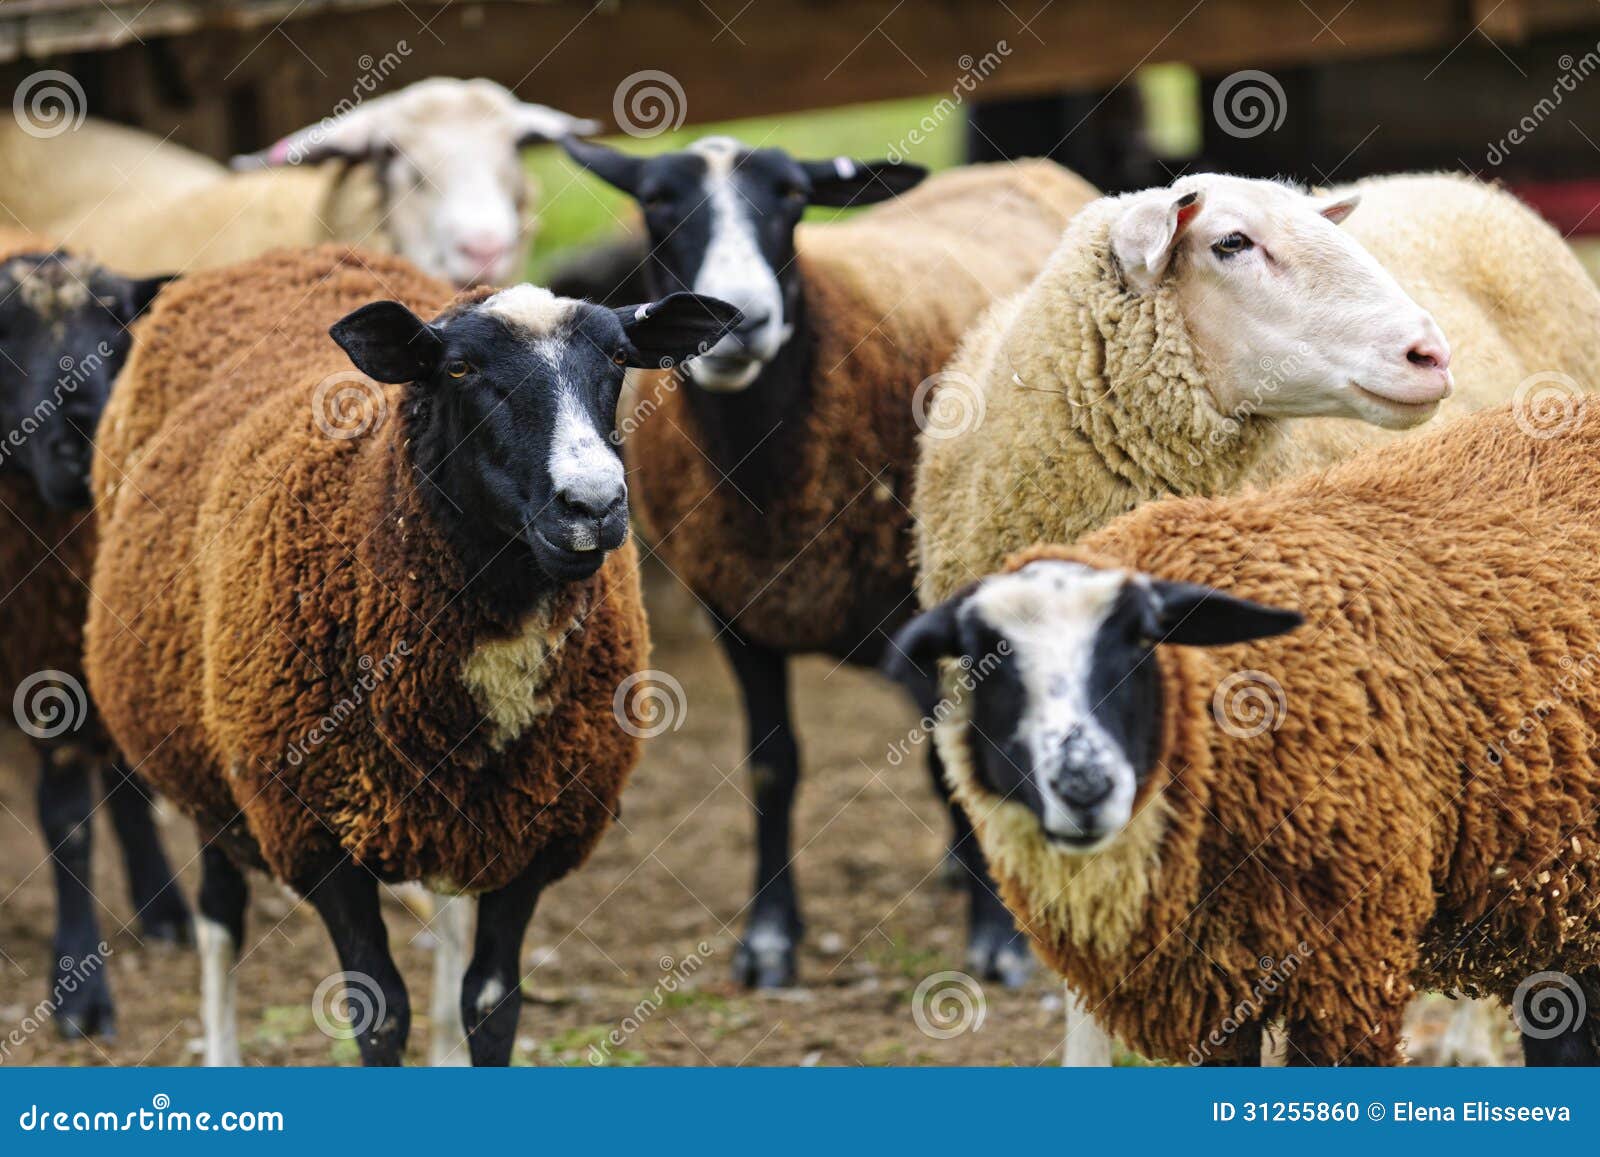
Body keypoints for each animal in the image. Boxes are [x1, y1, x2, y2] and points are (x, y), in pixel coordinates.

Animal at [82, 244, 740, 1065]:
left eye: (620, 358)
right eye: (457, 368)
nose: (592, 506)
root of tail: (287, 254)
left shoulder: (535, 832)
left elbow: (490, 1004)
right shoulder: (315, 836)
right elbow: (379, 1012)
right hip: (202, 761)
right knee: (218, 914)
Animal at [563, 135, 1099, 988]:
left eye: (790, 196)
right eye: (655, 199)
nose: (740, 317)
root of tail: (1021, 165)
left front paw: (997, 941)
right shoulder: (735, 610)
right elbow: (773, 765)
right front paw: (768, 941)